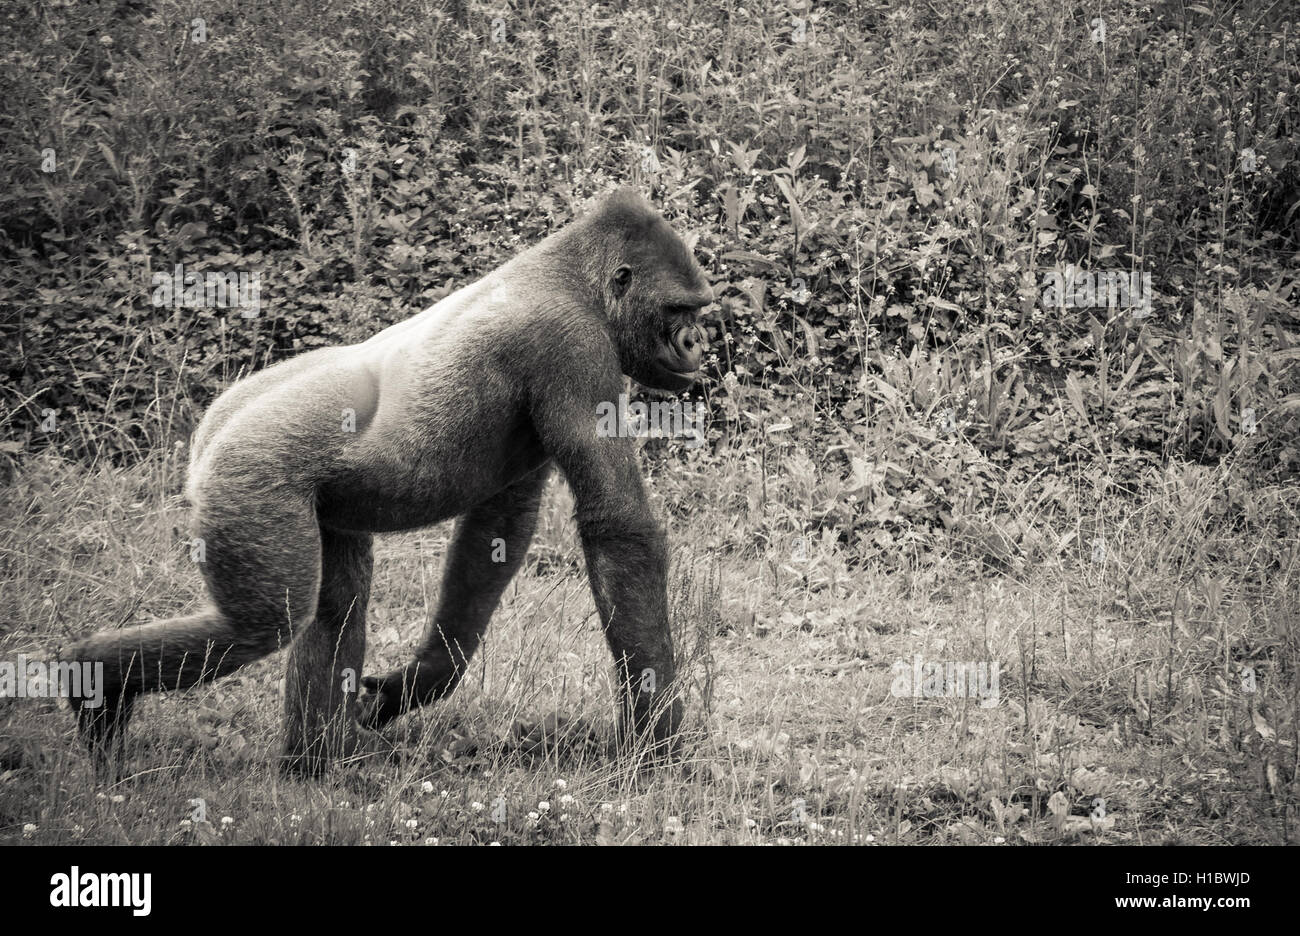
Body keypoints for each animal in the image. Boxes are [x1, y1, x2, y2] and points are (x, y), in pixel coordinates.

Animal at [64, 188, 712, 776]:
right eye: (679, 312)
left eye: (697, 313)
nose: (695, 344)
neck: (574, 276)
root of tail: (213, 425)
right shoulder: (570, 347)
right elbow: (618, 530)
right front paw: (656, 745)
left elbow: (495, 536)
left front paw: (418, 683)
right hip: (247, 468)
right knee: (264, 622)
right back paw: (96, 682)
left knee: (333, 606)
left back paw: (310, 767)